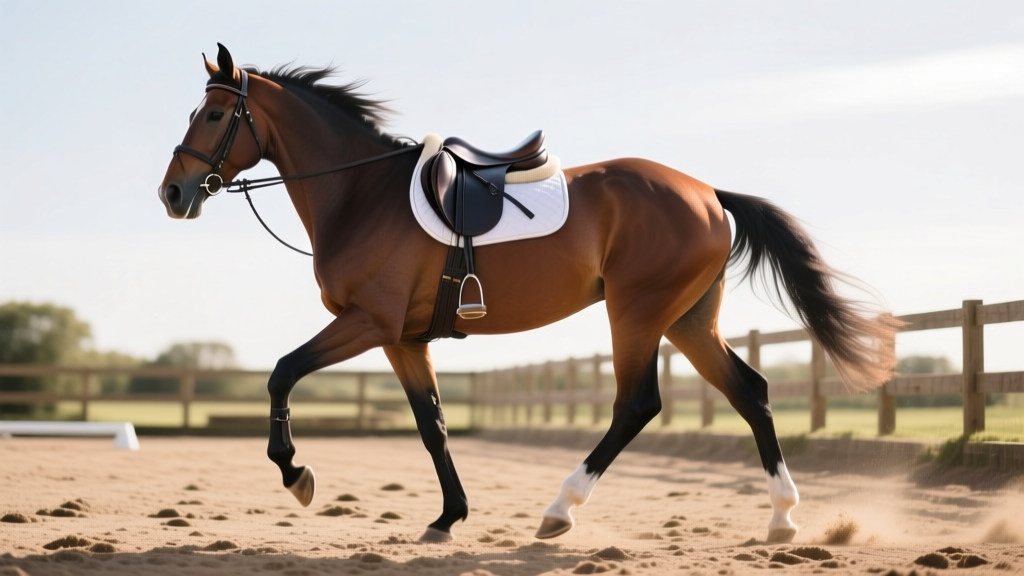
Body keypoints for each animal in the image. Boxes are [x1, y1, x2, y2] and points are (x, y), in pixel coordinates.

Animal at [159, 44, 899, 544]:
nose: (172, 193)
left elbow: (282, 373)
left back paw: (560, 510)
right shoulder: (403, 339)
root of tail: (708, 193)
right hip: (688, 319)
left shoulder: (368, 323)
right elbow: (431, 424)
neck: (361, 193)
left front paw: (295, 473)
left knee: (638, 404)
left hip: (638, 313)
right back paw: (782, 518)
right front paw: (448, 516)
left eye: (216, 114)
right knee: (751, 393)